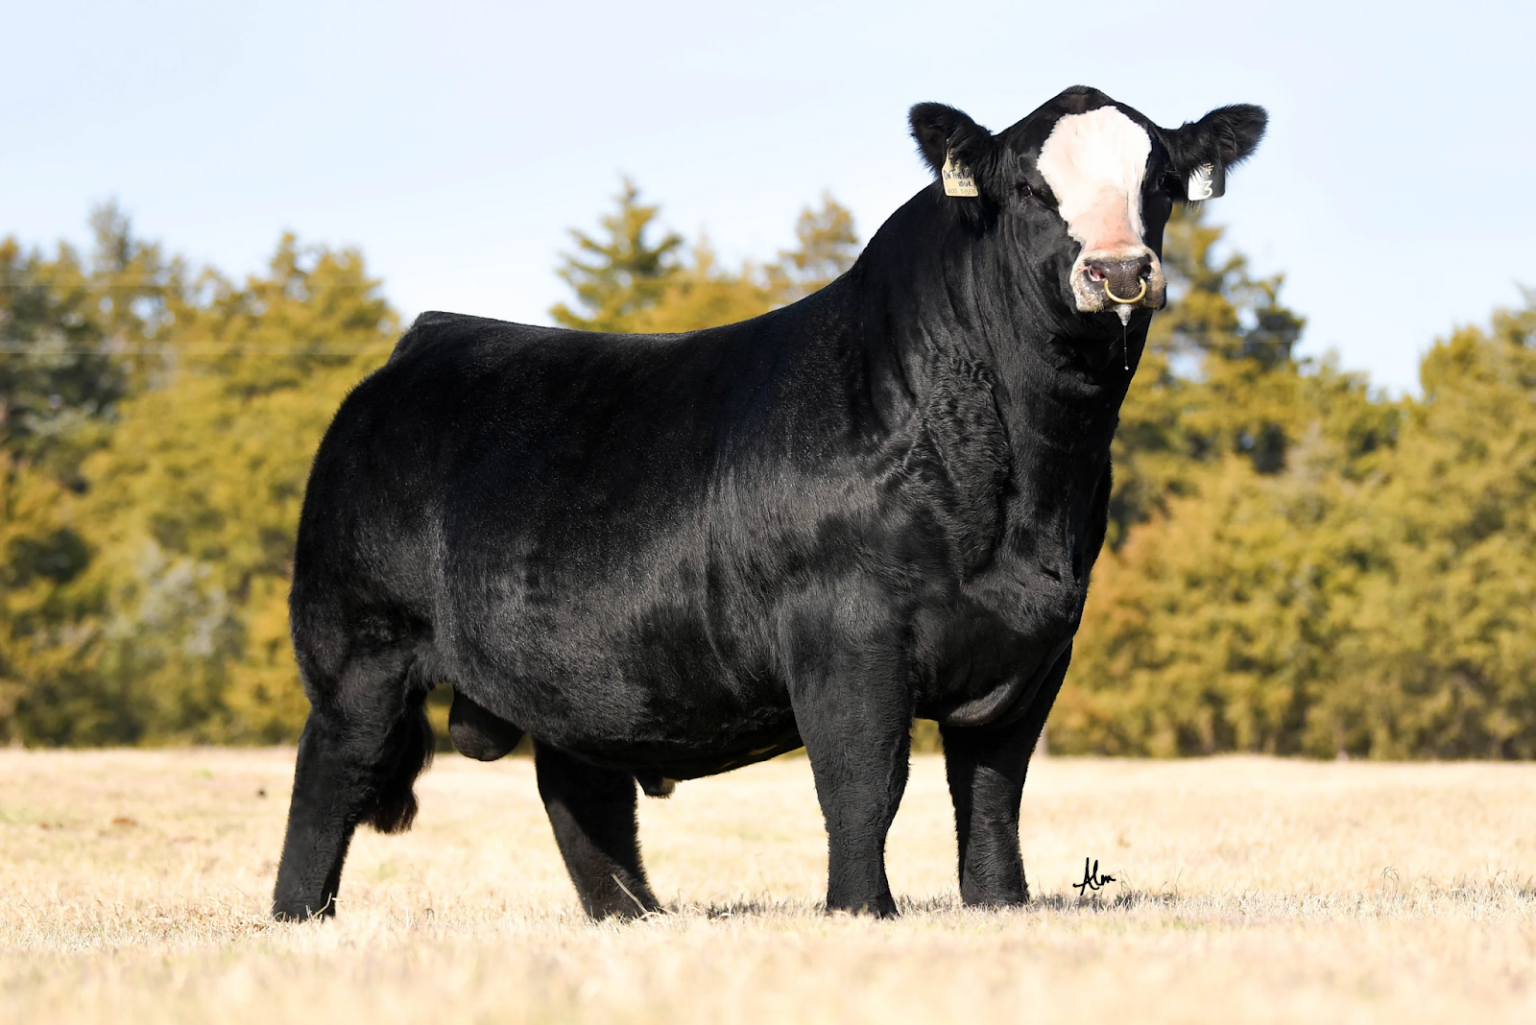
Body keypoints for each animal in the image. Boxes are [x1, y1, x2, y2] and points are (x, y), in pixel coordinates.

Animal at [272, 85, 1266, 921]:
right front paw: (861, 910)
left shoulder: (1037, 643)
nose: (1119, 269)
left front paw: (999, 905)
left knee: (581, 793)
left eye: (1160, 184)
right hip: (359, 640)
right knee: (332, 772)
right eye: (1028, 186)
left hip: (571, 668)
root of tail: (425, 339)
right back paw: (298, 917)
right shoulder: (846, 627)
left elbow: (991, 792)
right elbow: (864, 779)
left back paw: (634, 919)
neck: (1026, 487)